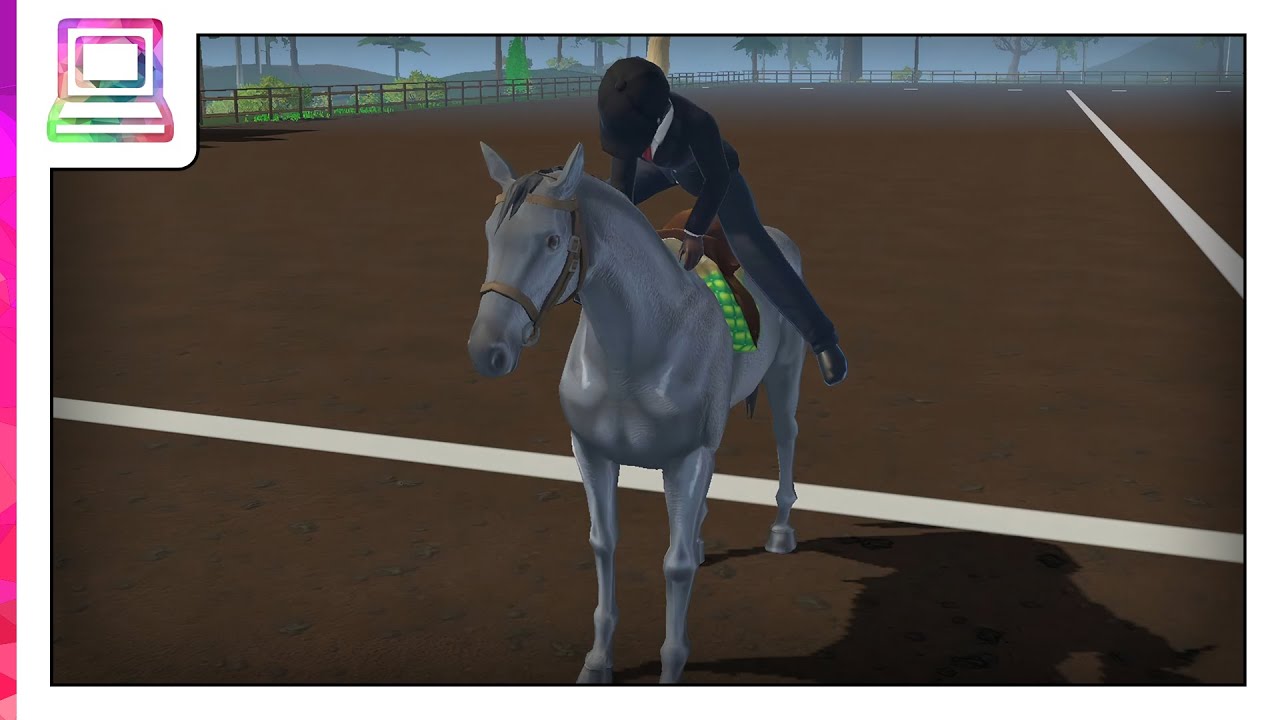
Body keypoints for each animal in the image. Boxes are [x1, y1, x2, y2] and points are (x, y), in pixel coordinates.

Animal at [467, 141, 807, 684]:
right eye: (489, 233)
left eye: (551, 241)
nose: (487, 350)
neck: (639, 345)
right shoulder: (592, 454)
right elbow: (603, 543)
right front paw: (597, 661)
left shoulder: (687, 458)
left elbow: (675, 564)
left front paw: (672, 665)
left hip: (785, 372)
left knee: (786, 435)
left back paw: (780, 531)